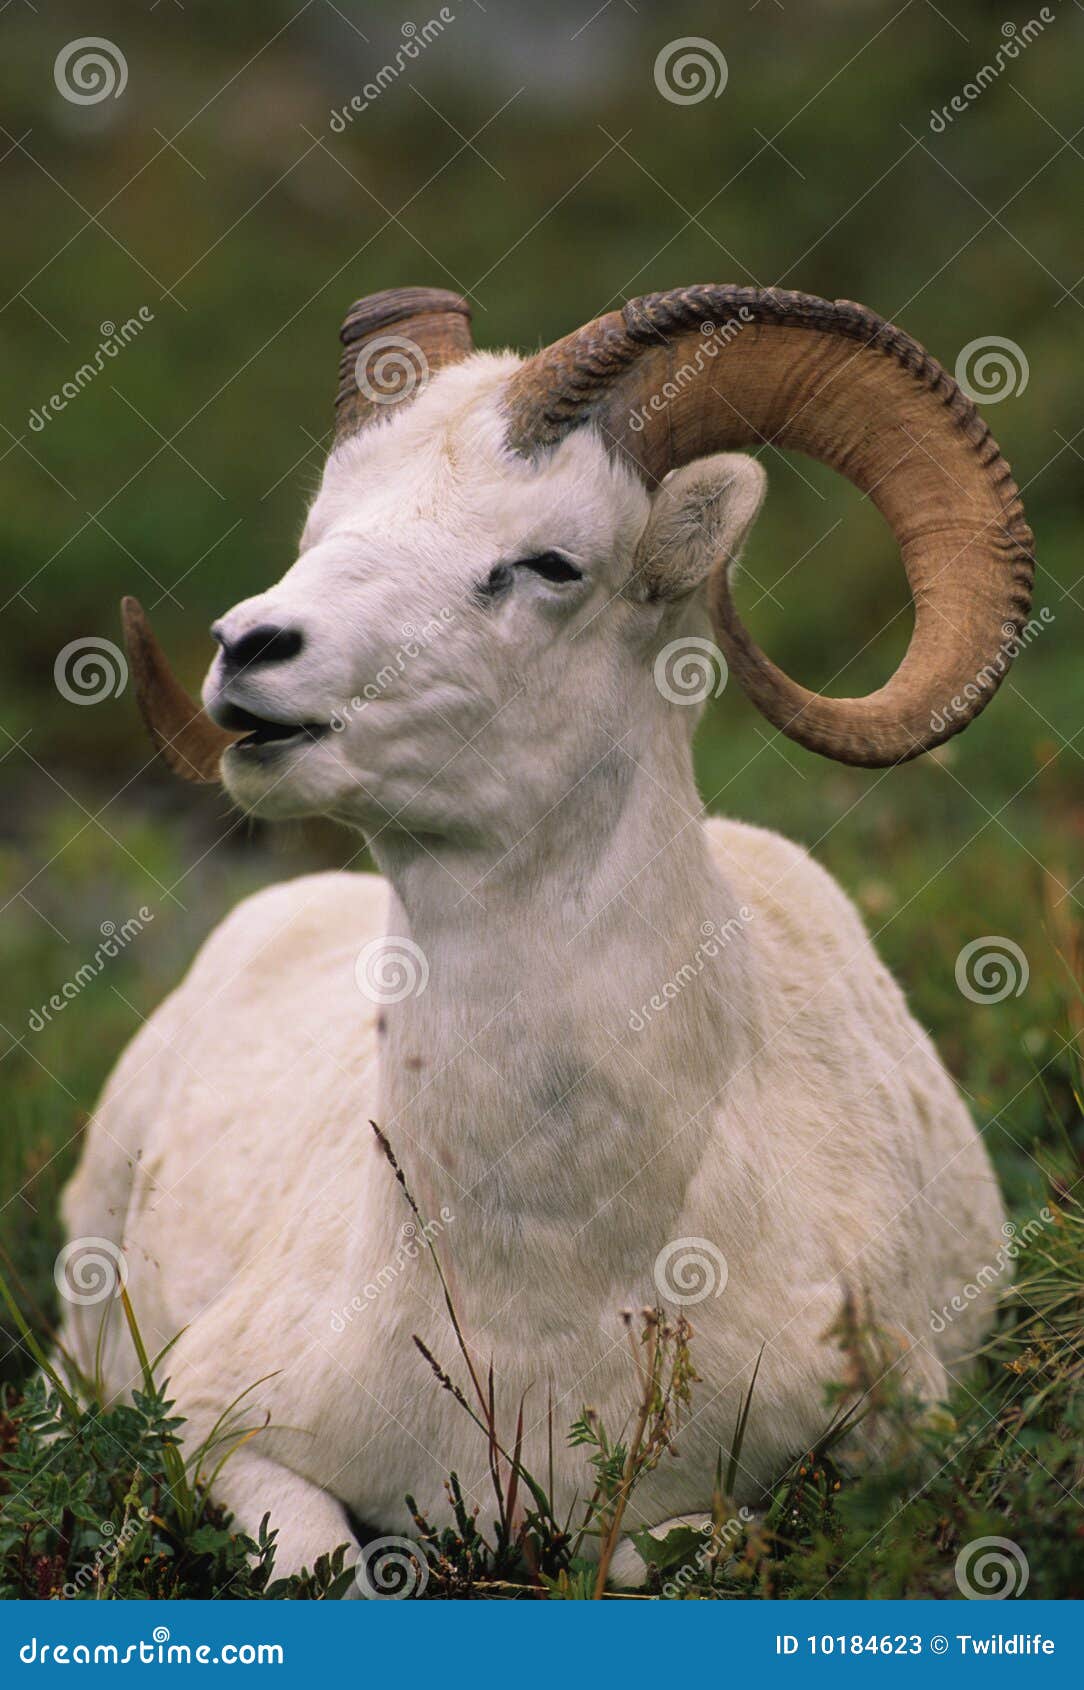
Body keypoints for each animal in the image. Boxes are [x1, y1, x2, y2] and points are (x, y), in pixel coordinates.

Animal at [58, 284, 1035, 1590]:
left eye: (549, 562)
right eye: (323, 530)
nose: (250, 652)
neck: (541, 1288)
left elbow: (647, 1554)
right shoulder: (226, 1431)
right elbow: (327, 1562)